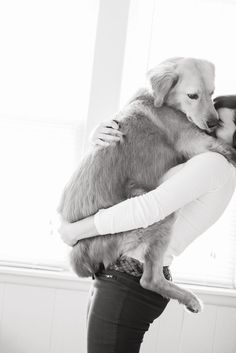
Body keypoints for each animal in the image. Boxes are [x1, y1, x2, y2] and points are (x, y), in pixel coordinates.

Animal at [57, 56, 236, 312]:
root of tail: (77, 252)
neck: (161, 101)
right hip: (160, 215)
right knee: (149, 279)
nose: (213, 122)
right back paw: (189, 298)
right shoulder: (196, 142)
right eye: (193, 95)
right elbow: (229, 148)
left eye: (211, 92)